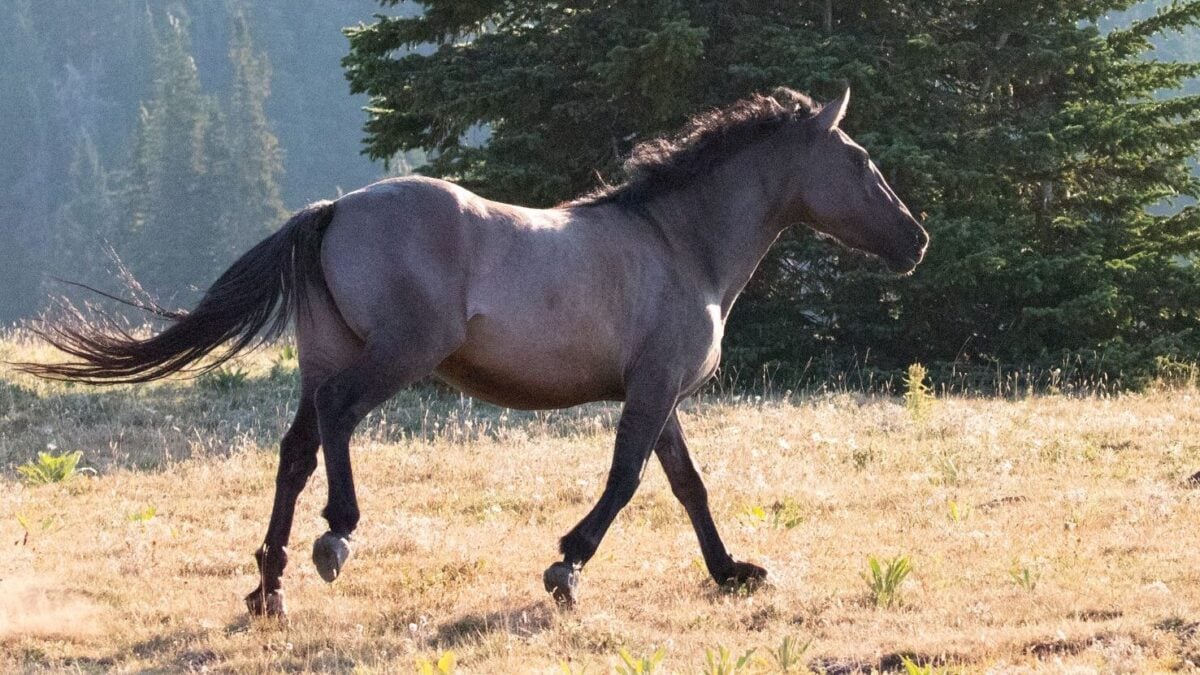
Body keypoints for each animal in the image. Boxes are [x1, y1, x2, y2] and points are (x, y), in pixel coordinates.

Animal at [18, 87, 928, 616]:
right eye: (861, 160)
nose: (914, 241)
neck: (679, 243)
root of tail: (333, 209)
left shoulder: (660, 393)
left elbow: (686, 484)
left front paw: (732, 570)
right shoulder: (653, 386)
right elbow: (628, 480)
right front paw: (566, 566)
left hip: (322, 357)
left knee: (296, 448)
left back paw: (269, 583)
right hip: (395, 354)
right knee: (338, 424)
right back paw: (335, 539)